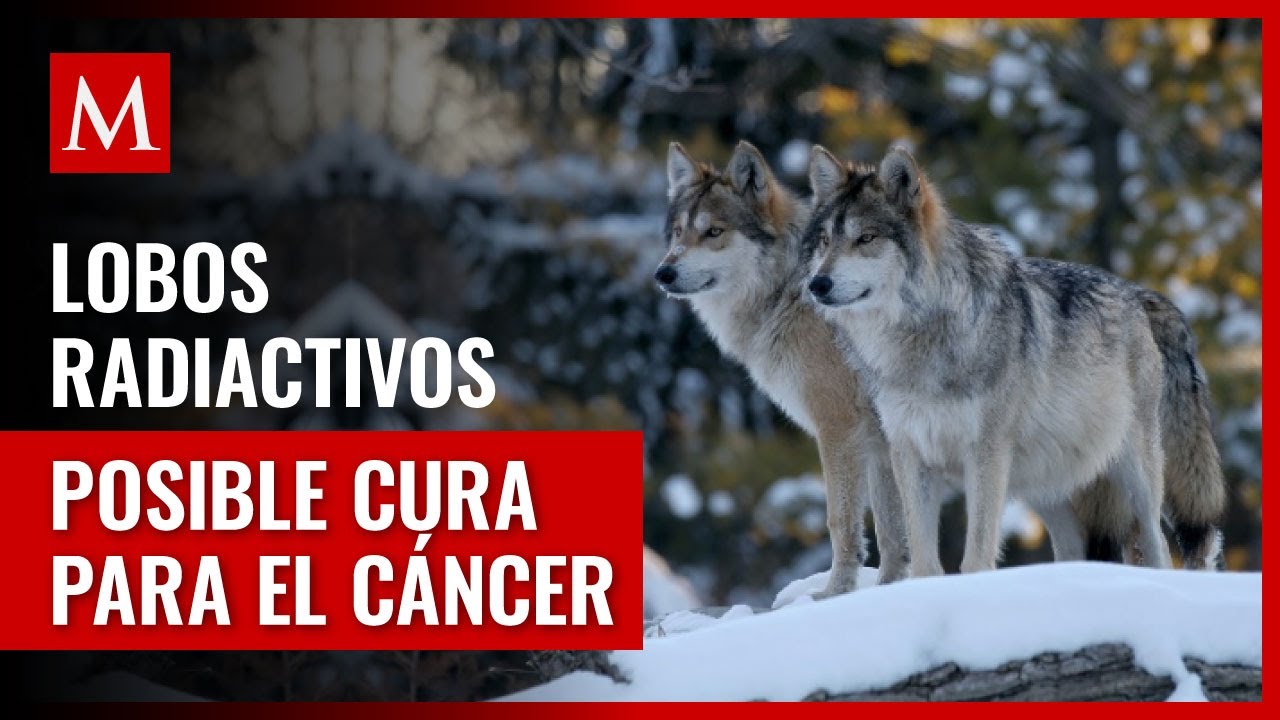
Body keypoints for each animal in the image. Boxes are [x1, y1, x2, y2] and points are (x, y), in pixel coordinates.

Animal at [655, 140, 909, 596]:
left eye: (714, 232)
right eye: (679, 232)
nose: (663, 273)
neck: (787, 292)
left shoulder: (839, 428)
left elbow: (841, 521)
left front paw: (833, 595)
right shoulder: (881, 442)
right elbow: (893, 534)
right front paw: (889, 591)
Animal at [804, 145, 1223, 576]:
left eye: (866, 238)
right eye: (824, 241)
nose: (817, 284)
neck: (917, 342)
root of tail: (1138, 294)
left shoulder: (985, 454)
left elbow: (975, 556)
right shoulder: (909, 453)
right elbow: (923, 561)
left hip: (1134, 471)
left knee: (1157, 544)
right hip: (1046, 487)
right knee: (1074, 550)